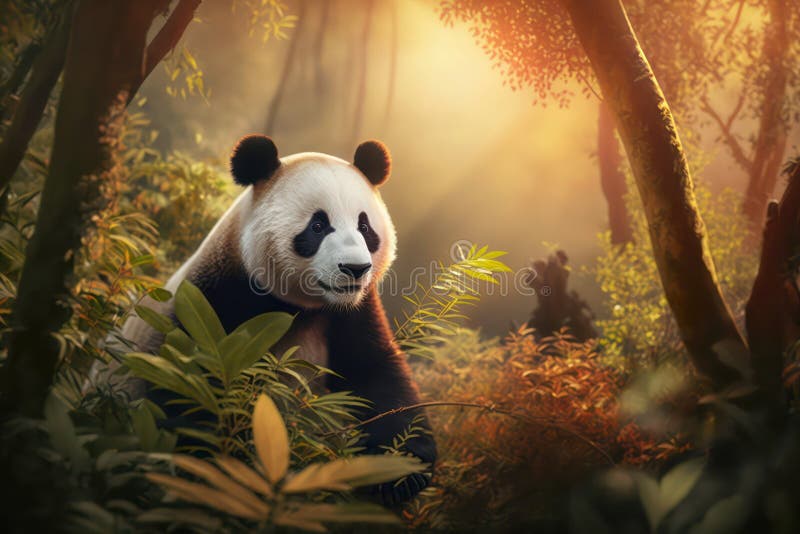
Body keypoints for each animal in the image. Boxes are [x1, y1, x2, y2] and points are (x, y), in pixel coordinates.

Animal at [110, 135, 436, 504]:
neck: (299, 307)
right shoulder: (213, 302)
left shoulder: (351, 312)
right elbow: (188, 388)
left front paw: (403, 471)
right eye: (318, 226)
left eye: (364, 227)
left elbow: (376, 374)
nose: (355, 269)